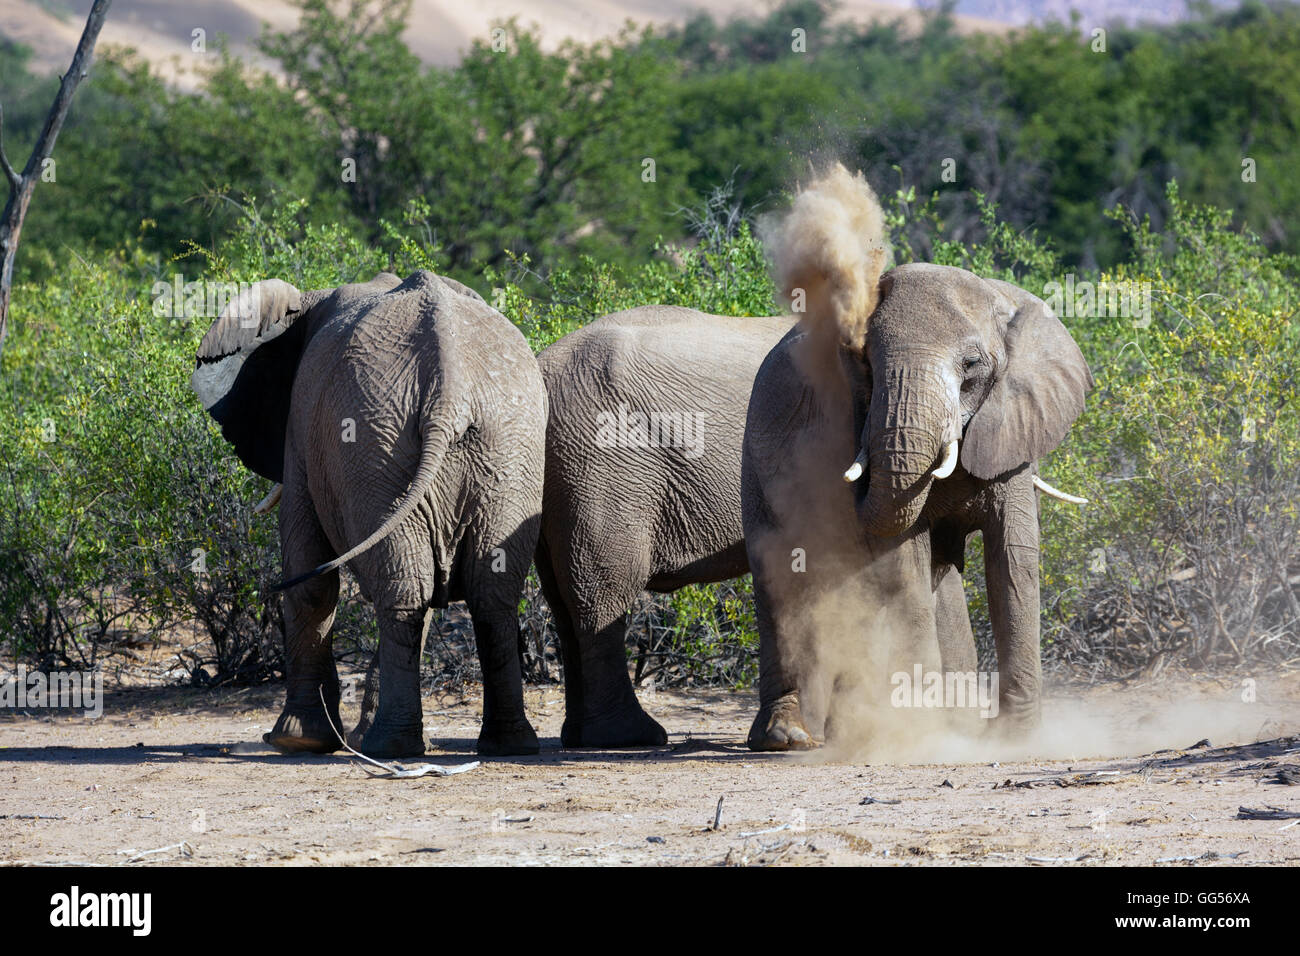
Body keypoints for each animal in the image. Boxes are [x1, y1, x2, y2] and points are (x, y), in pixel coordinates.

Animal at [191, 270, 547, 758]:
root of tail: (450, 387)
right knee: (480, 590)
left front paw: (295, 741)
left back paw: (388, 746)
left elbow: (308, 575)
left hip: (375, 443)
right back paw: (502, 744)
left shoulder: (301, 432)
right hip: (505, 445)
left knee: (407, 588)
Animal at [743, 166, 1092, 752]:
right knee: (782, 577)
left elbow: (1012, 555)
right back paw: (792, 735)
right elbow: (903, 558)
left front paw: (1012, 737)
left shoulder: (1012, 427)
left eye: (972, 366)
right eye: (864, 364)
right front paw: (919, 731)